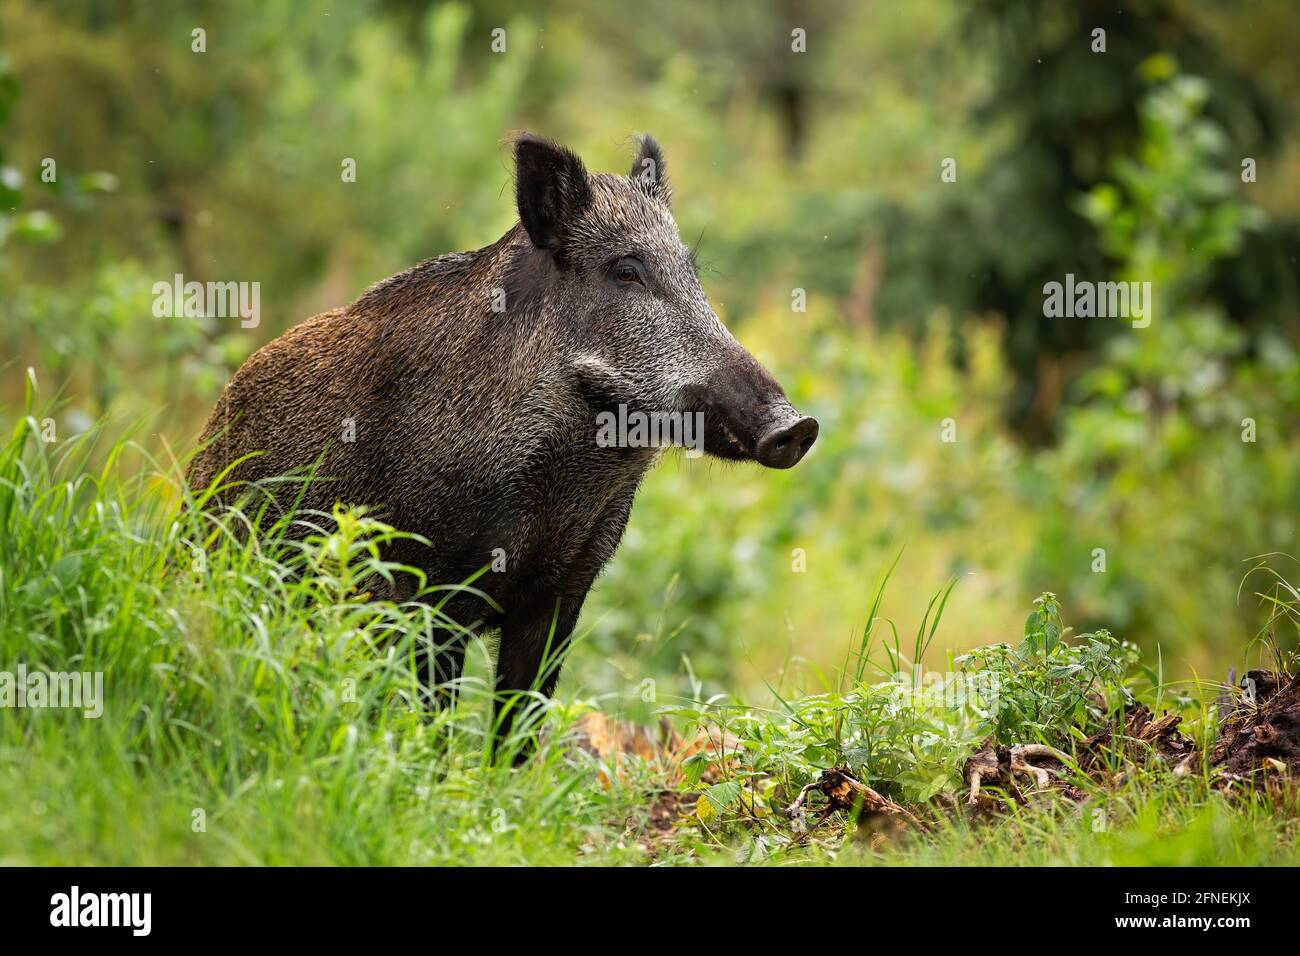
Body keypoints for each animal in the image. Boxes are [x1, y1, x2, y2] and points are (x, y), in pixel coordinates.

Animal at [188, 133, 818, 757]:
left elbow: (519, 716)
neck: (566, 479)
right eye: (627, 272)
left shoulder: (564, 588)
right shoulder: (426, 586)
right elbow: (435, 712)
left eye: (692, 271)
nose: (797, 427)